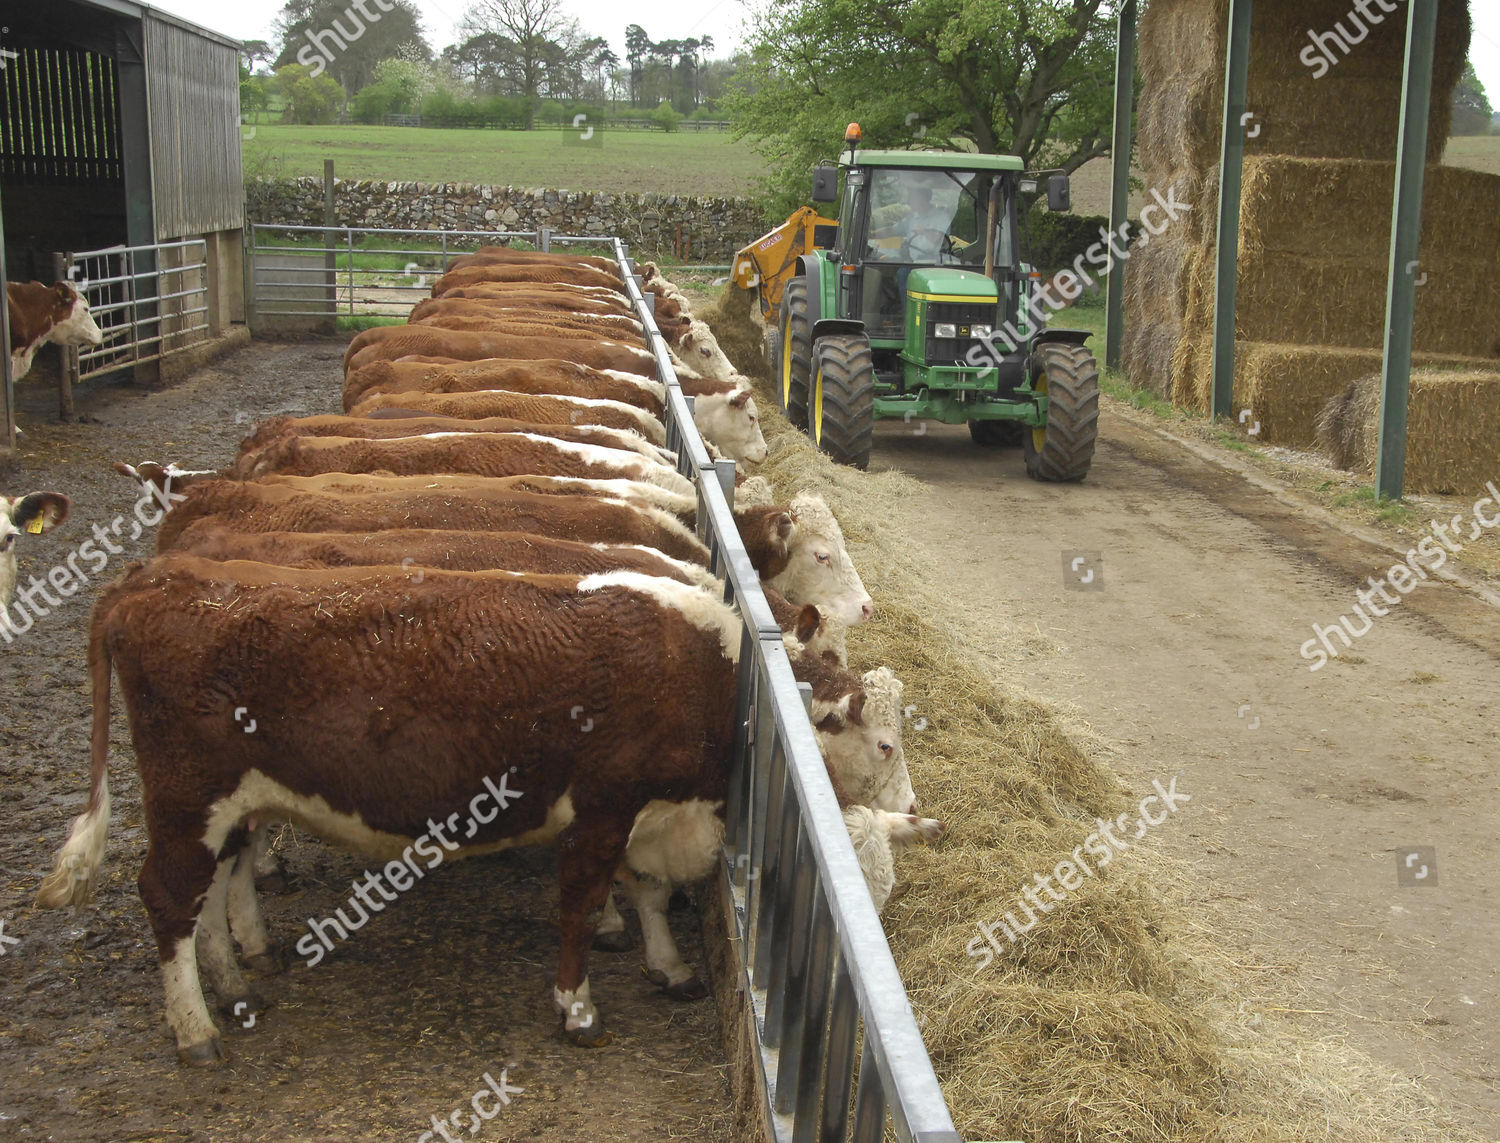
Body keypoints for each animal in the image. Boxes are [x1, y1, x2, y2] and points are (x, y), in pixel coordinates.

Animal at [35, 559, 745, 1063]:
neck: (699, 664)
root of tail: (157, 577)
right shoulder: (602, 809)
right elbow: (583, 909)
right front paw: (578, 1012)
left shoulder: (645, 812)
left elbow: (650, 892)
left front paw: (672, 968)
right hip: (187, 794)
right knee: (167, 894)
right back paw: (195, 1032)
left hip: (226, 808)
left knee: (203, 897)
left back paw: (235, 990)